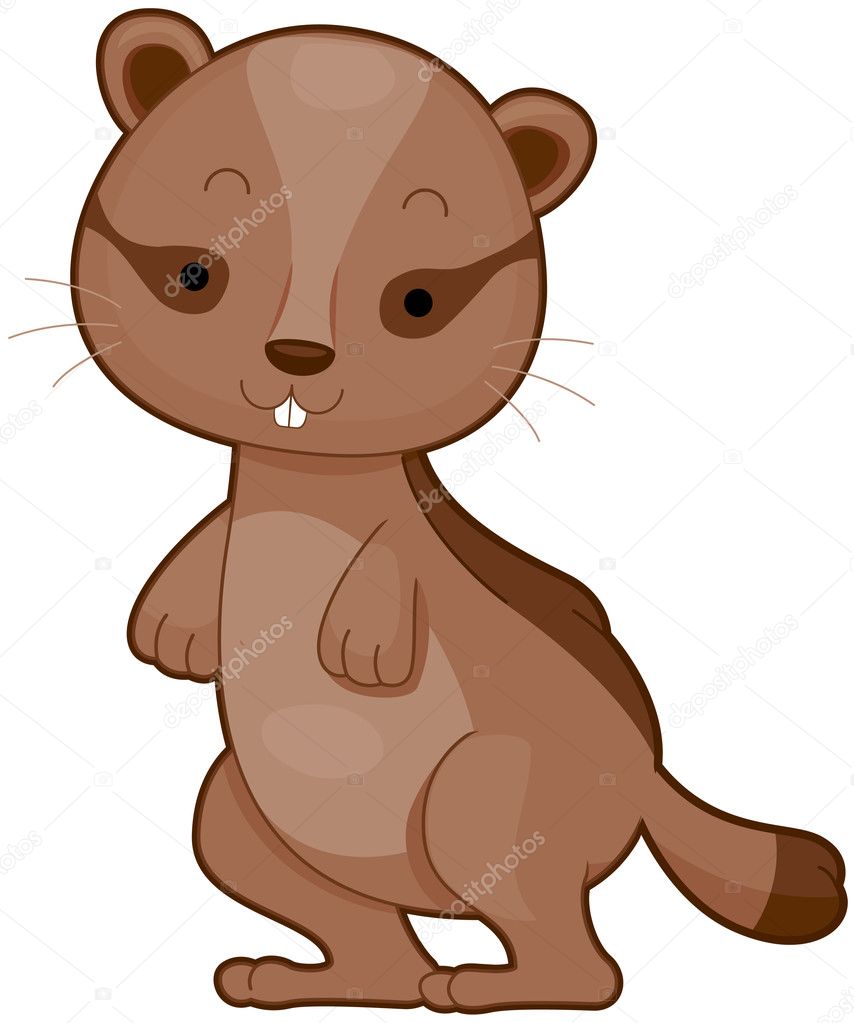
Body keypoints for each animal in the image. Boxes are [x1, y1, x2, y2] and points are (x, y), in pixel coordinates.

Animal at [70, 10, 845, 1012]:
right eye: (192, 276)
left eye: (419, 301)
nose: (297, 359)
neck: (306, 484)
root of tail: (647, 773)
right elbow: (206, 535)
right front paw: (173, 623)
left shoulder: (408, 539)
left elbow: (399, 557)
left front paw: (360, 636)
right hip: (238, 817)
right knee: (380, 955)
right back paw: (302, 981)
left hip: (484, 799)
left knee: (589, 971)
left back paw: (476, 986)